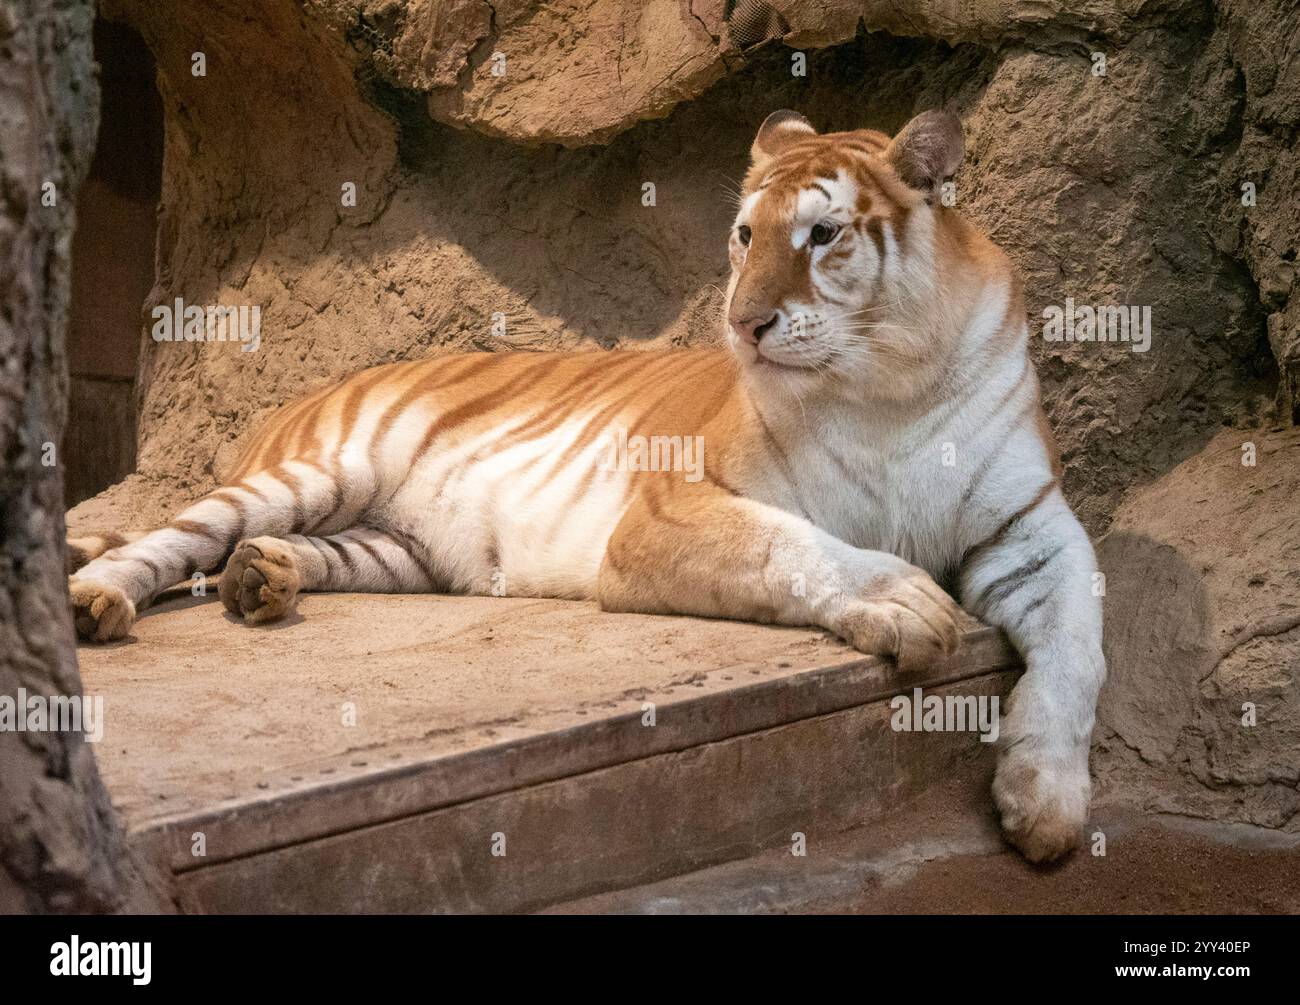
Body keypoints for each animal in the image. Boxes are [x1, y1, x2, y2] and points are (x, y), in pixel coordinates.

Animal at [68, 110, 1105, 863]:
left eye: (822, 235)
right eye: (744, 234)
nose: (745, 322)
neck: (890, 384)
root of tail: (279, 406)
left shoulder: (1028, 528)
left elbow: (1079, 646)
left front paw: (1047, 803)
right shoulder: (671, 512)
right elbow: (803, 547)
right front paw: (906, 605)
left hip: (394, 548)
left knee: (278, 556)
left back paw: (262, 580)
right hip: (318, 471)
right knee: (163, 540)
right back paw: (96, 601)